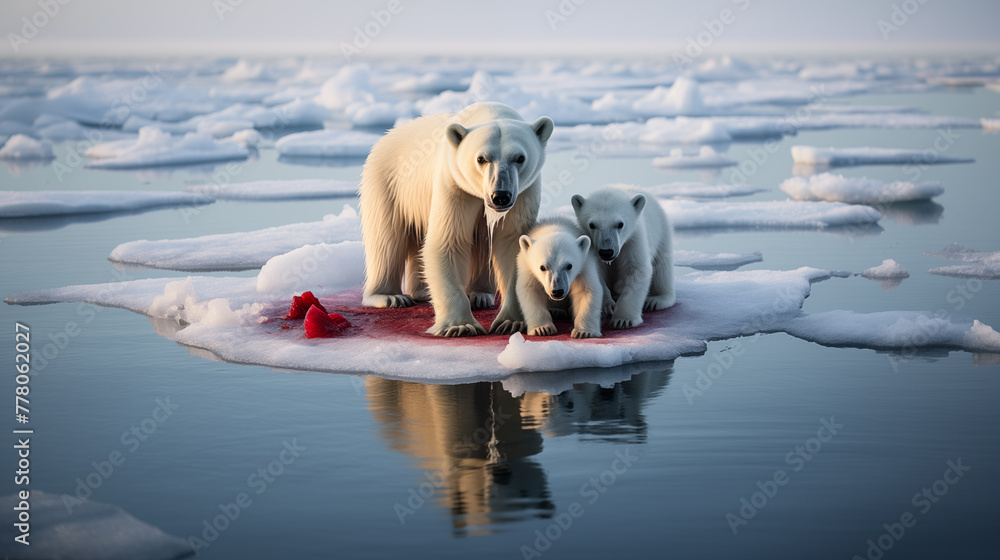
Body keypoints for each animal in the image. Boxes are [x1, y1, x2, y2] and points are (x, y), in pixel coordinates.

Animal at [359, 102, 554, 337]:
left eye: (520, 158)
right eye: (481, 158)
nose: (500, 195)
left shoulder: (523, 193)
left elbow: (512, 244)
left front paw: (512, 322)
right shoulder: (454, 184)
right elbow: (448, 242)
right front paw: (460, 326)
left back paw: (477, 295)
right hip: (388, 183)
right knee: (386, 240)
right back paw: (390, 296)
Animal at [571, 184, 675, 330]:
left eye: (620, 224)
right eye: (592, 225)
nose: (607, 252)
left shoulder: (634, 240)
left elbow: (637, 269)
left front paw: (623, 320)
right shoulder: (589, 245)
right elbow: (596, 274)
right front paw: (607, 307)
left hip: (662, 233)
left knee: (662, 268)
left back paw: (656, 299)